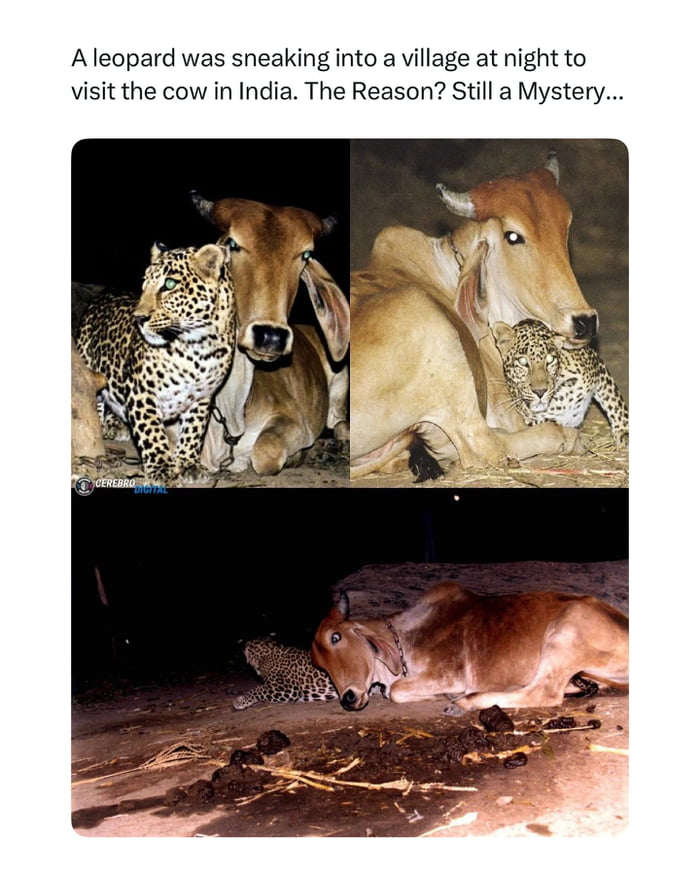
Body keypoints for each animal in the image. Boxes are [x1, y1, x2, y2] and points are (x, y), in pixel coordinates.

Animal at [76, 243, 236, 486]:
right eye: (144, 284)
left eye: (169, 284)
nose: (138, 318)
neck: (198, 346)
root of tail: (105, 292)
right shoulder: (141, 392)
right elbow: (152, 432)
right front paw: (162, 469)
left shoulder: (202, 396)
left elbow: (193, 430)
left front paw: (188, 464)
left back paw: (117, 424)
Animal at [190, 194, 350, 474]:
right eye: (232, 243)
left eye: (306, 254)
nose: (271, 337)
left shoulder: (292, 419)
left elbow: (265, 452)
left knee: (340, 425)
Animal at [311, 583, 629, 715]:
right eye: (319, 665)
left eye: (336, 637)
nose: (348, 698)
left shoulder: (449, 673)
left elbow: (396, 691)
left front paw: (444, 695)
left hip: (566, 627)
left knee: (545, 694)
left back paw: (465, 702)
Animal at [492, 319, 629, 447]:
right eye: (522, 361)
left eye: (550, 360)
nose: (540, 392)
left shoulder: (597, 366)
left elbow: (614, 402)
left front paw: (624, 432)